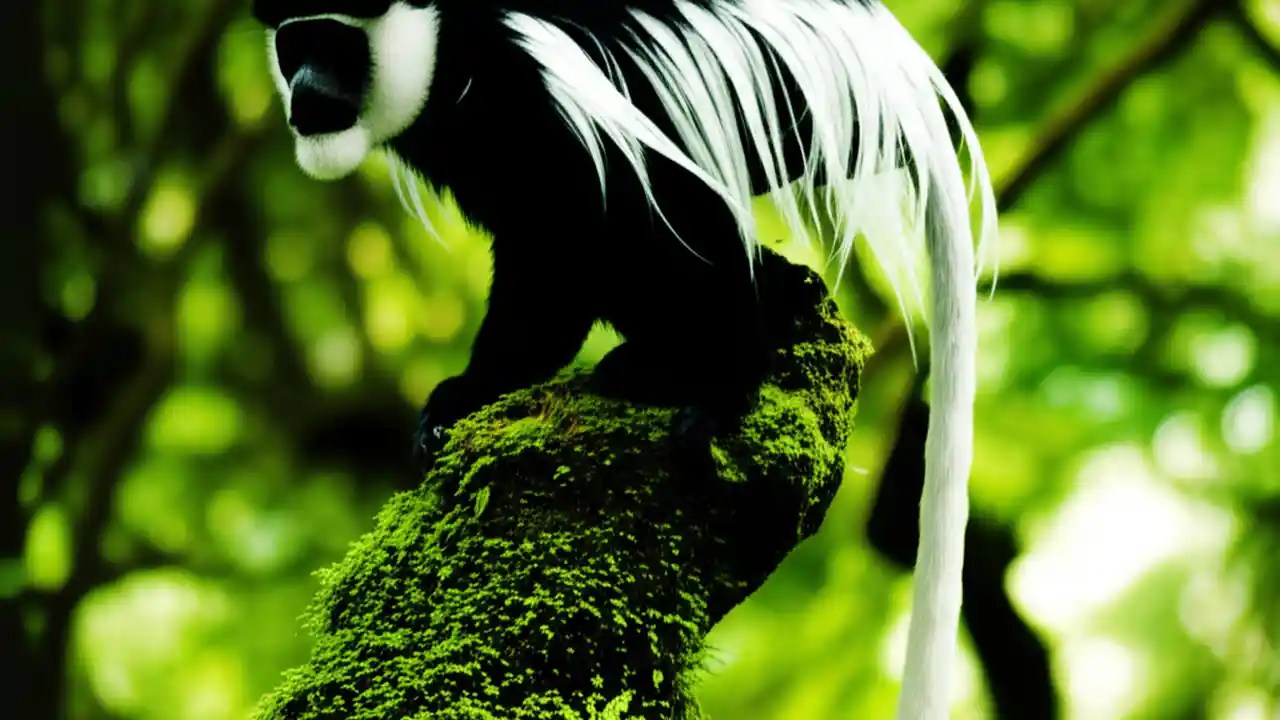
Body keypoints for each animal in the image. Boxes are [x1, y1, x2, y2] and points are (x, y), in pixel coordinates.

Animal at [250, 1, 998, 717]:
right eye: (294, 48)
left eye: (334, 44)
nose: (305, 90)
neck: (446, 48)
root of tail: (903, 68)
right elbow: (543, 267)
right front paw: (464, 398)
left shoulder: (533, 89)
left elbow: (595, 229)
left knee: (659, 204)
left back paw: (706, 360)